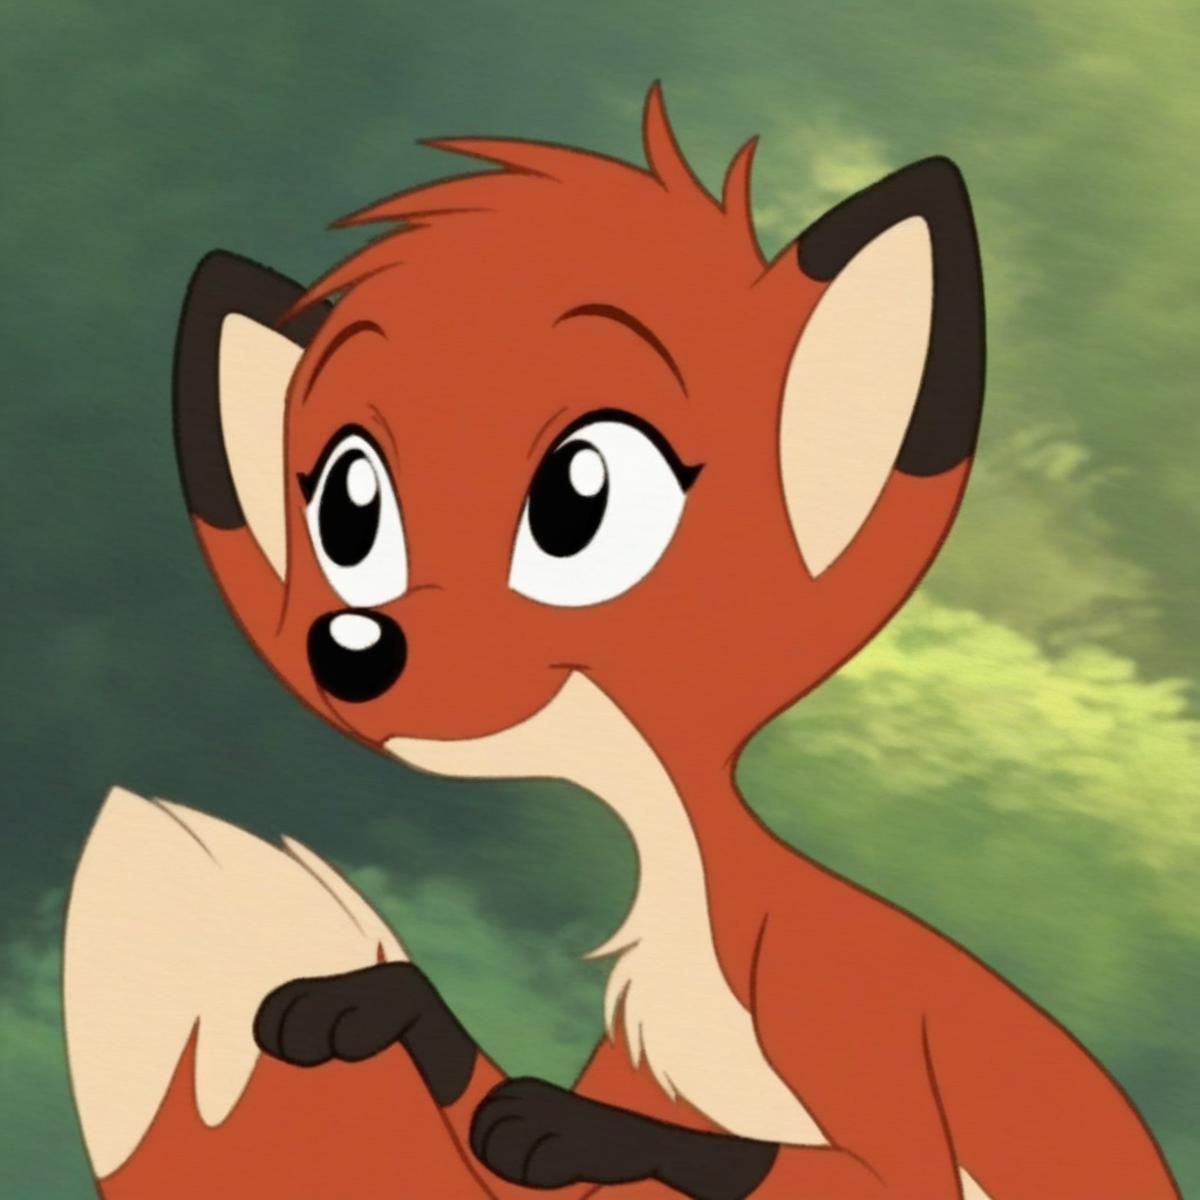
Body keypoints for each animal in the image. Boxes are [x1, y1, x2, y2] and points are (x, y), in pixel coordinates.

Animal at [160, 83, 1180, 1198]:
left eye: (580, 497)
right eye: (349, 509)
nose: (353, 646)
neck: (696, 919)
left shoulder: (856, 1036)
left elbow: (753, 1154)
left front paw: (566, 1121)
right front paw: (350, 1002)